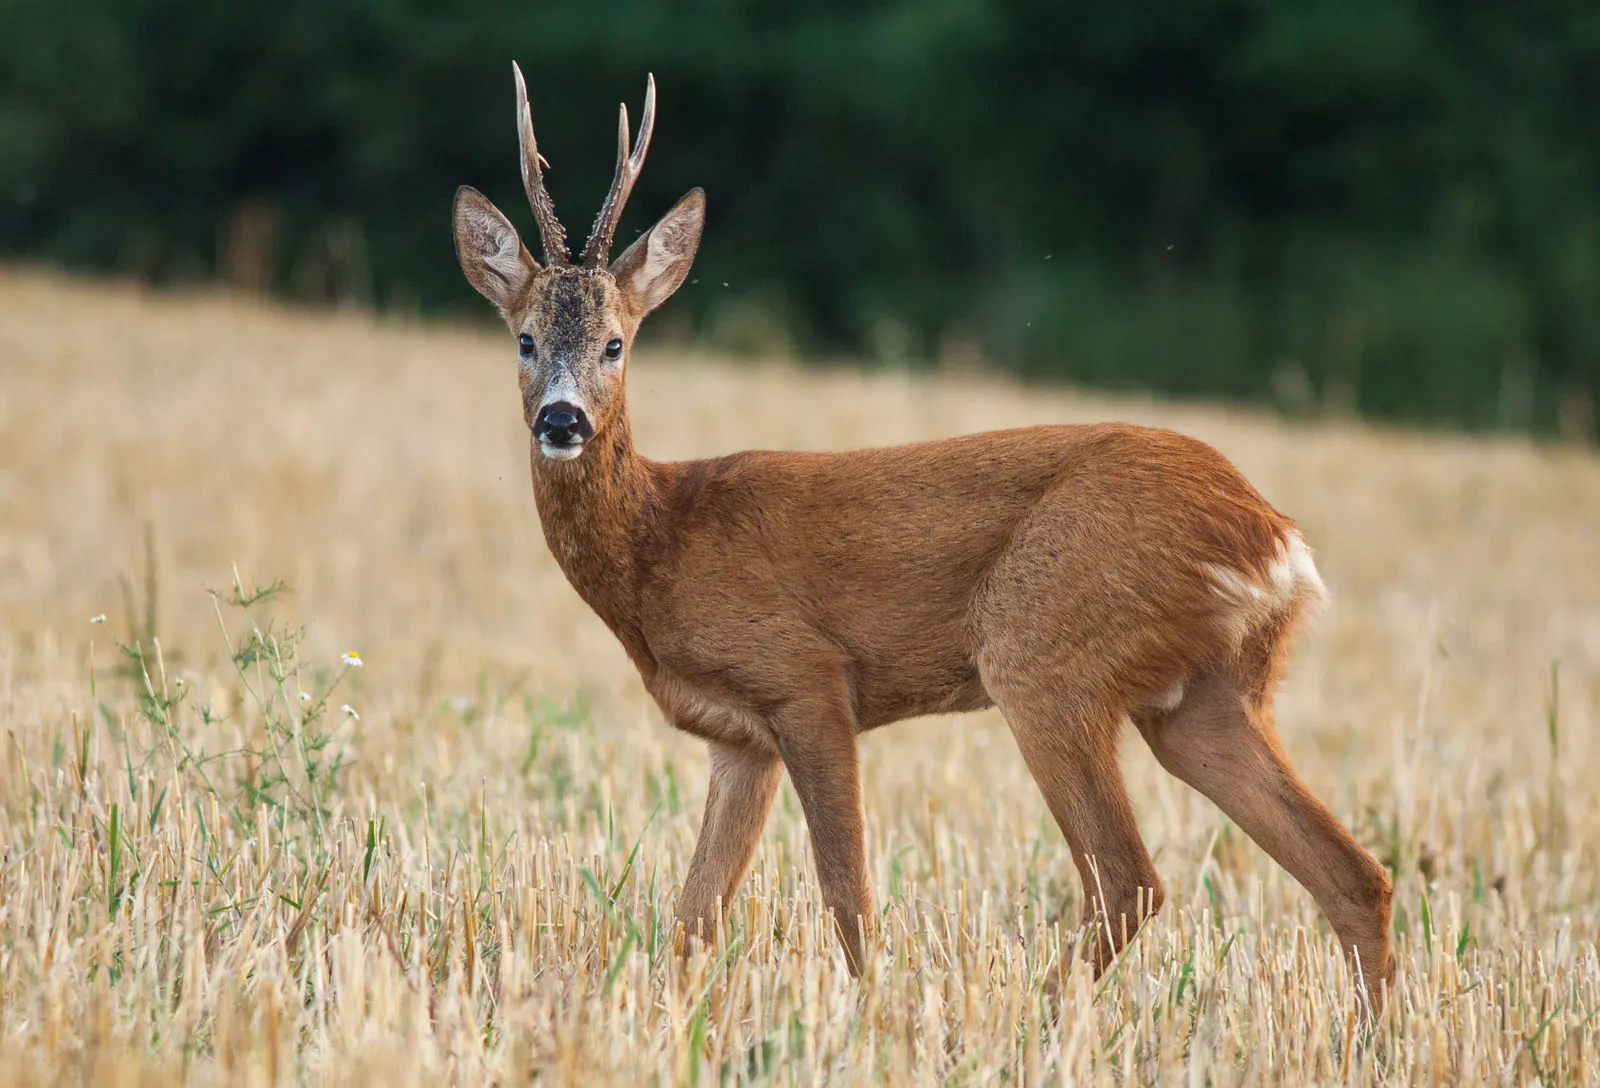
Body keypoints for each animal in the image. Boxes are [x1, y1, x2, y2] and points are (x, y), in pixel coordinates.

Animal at [452, 63, 1396, 1005]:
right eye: (525, 340)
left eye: (616, 344)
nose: (564, 420)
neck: (660, 542)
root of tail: (1275, 538)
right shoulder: (738, 739)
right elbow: (693, 920)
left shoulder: (805, 679)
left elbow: (849, 898)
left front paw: (872, 1012)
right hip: (1205, 696)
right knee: (1354, 873)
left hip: (1044, 652)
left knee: (1130, 881)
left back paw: (1034, 1013)